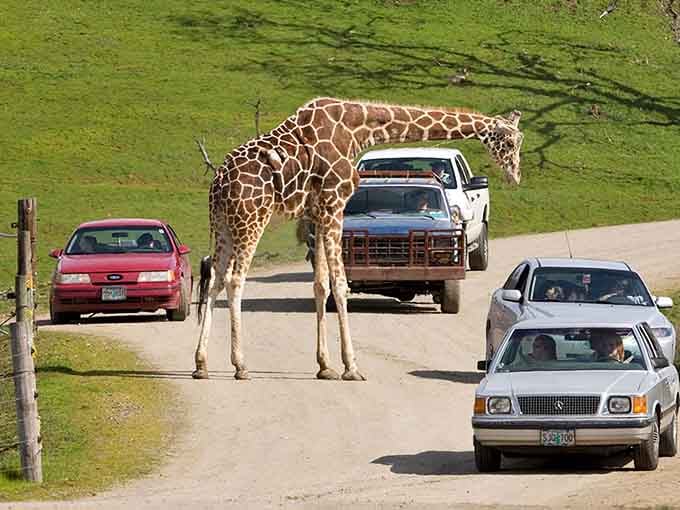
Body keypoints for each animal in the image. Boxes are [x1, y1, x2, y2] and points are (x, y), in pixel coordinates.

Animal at [193, 97, 524, 381]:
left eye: (519, 141)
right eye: (508, 142)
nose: (515, 176)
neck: (358, 129)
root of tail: (218, 182)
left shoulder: (318, 213)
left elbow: (320, 285)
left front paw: (325, 366)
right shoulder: (334, 204)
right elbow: (340, 285)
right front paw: (351, 367)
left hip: (222, 223)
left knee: (216, 279)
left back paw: (201, 364)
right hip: (251, 219)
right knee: (235, 279)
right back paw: (240, 365)